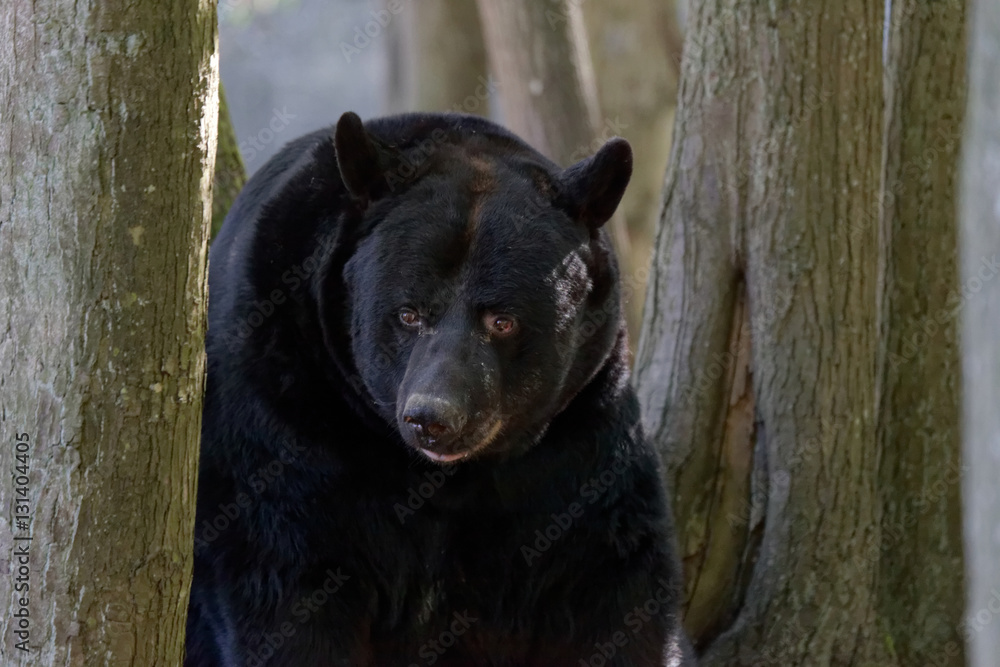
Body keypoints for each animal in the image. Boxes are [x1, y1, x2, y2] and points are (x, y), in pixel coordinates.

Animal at [185, 111, 692, 667]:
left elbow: (617, 586)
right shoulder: (279, 419)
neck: (446, 478)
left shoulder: (580, 440)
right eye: (408, 313)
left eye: (503, 320)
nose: (433, 417)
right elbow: (284, 588)